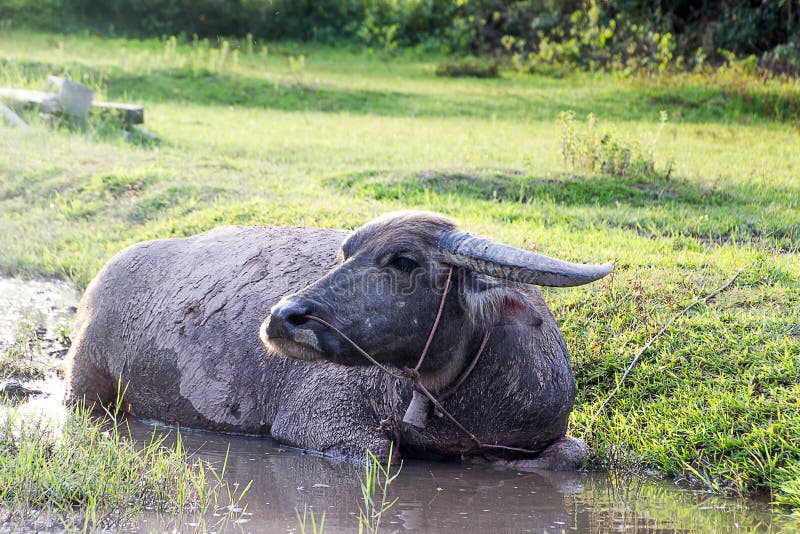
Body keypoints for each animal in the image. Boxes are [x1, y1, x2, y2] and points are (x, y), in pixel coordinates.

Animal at [65, 211, 610, 467]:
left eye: (404, 261)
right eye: (346, 252)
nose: (283, 317)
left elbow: (573, 453)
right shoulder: (314, 422)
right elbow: (384, 454)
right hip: (85, 385)